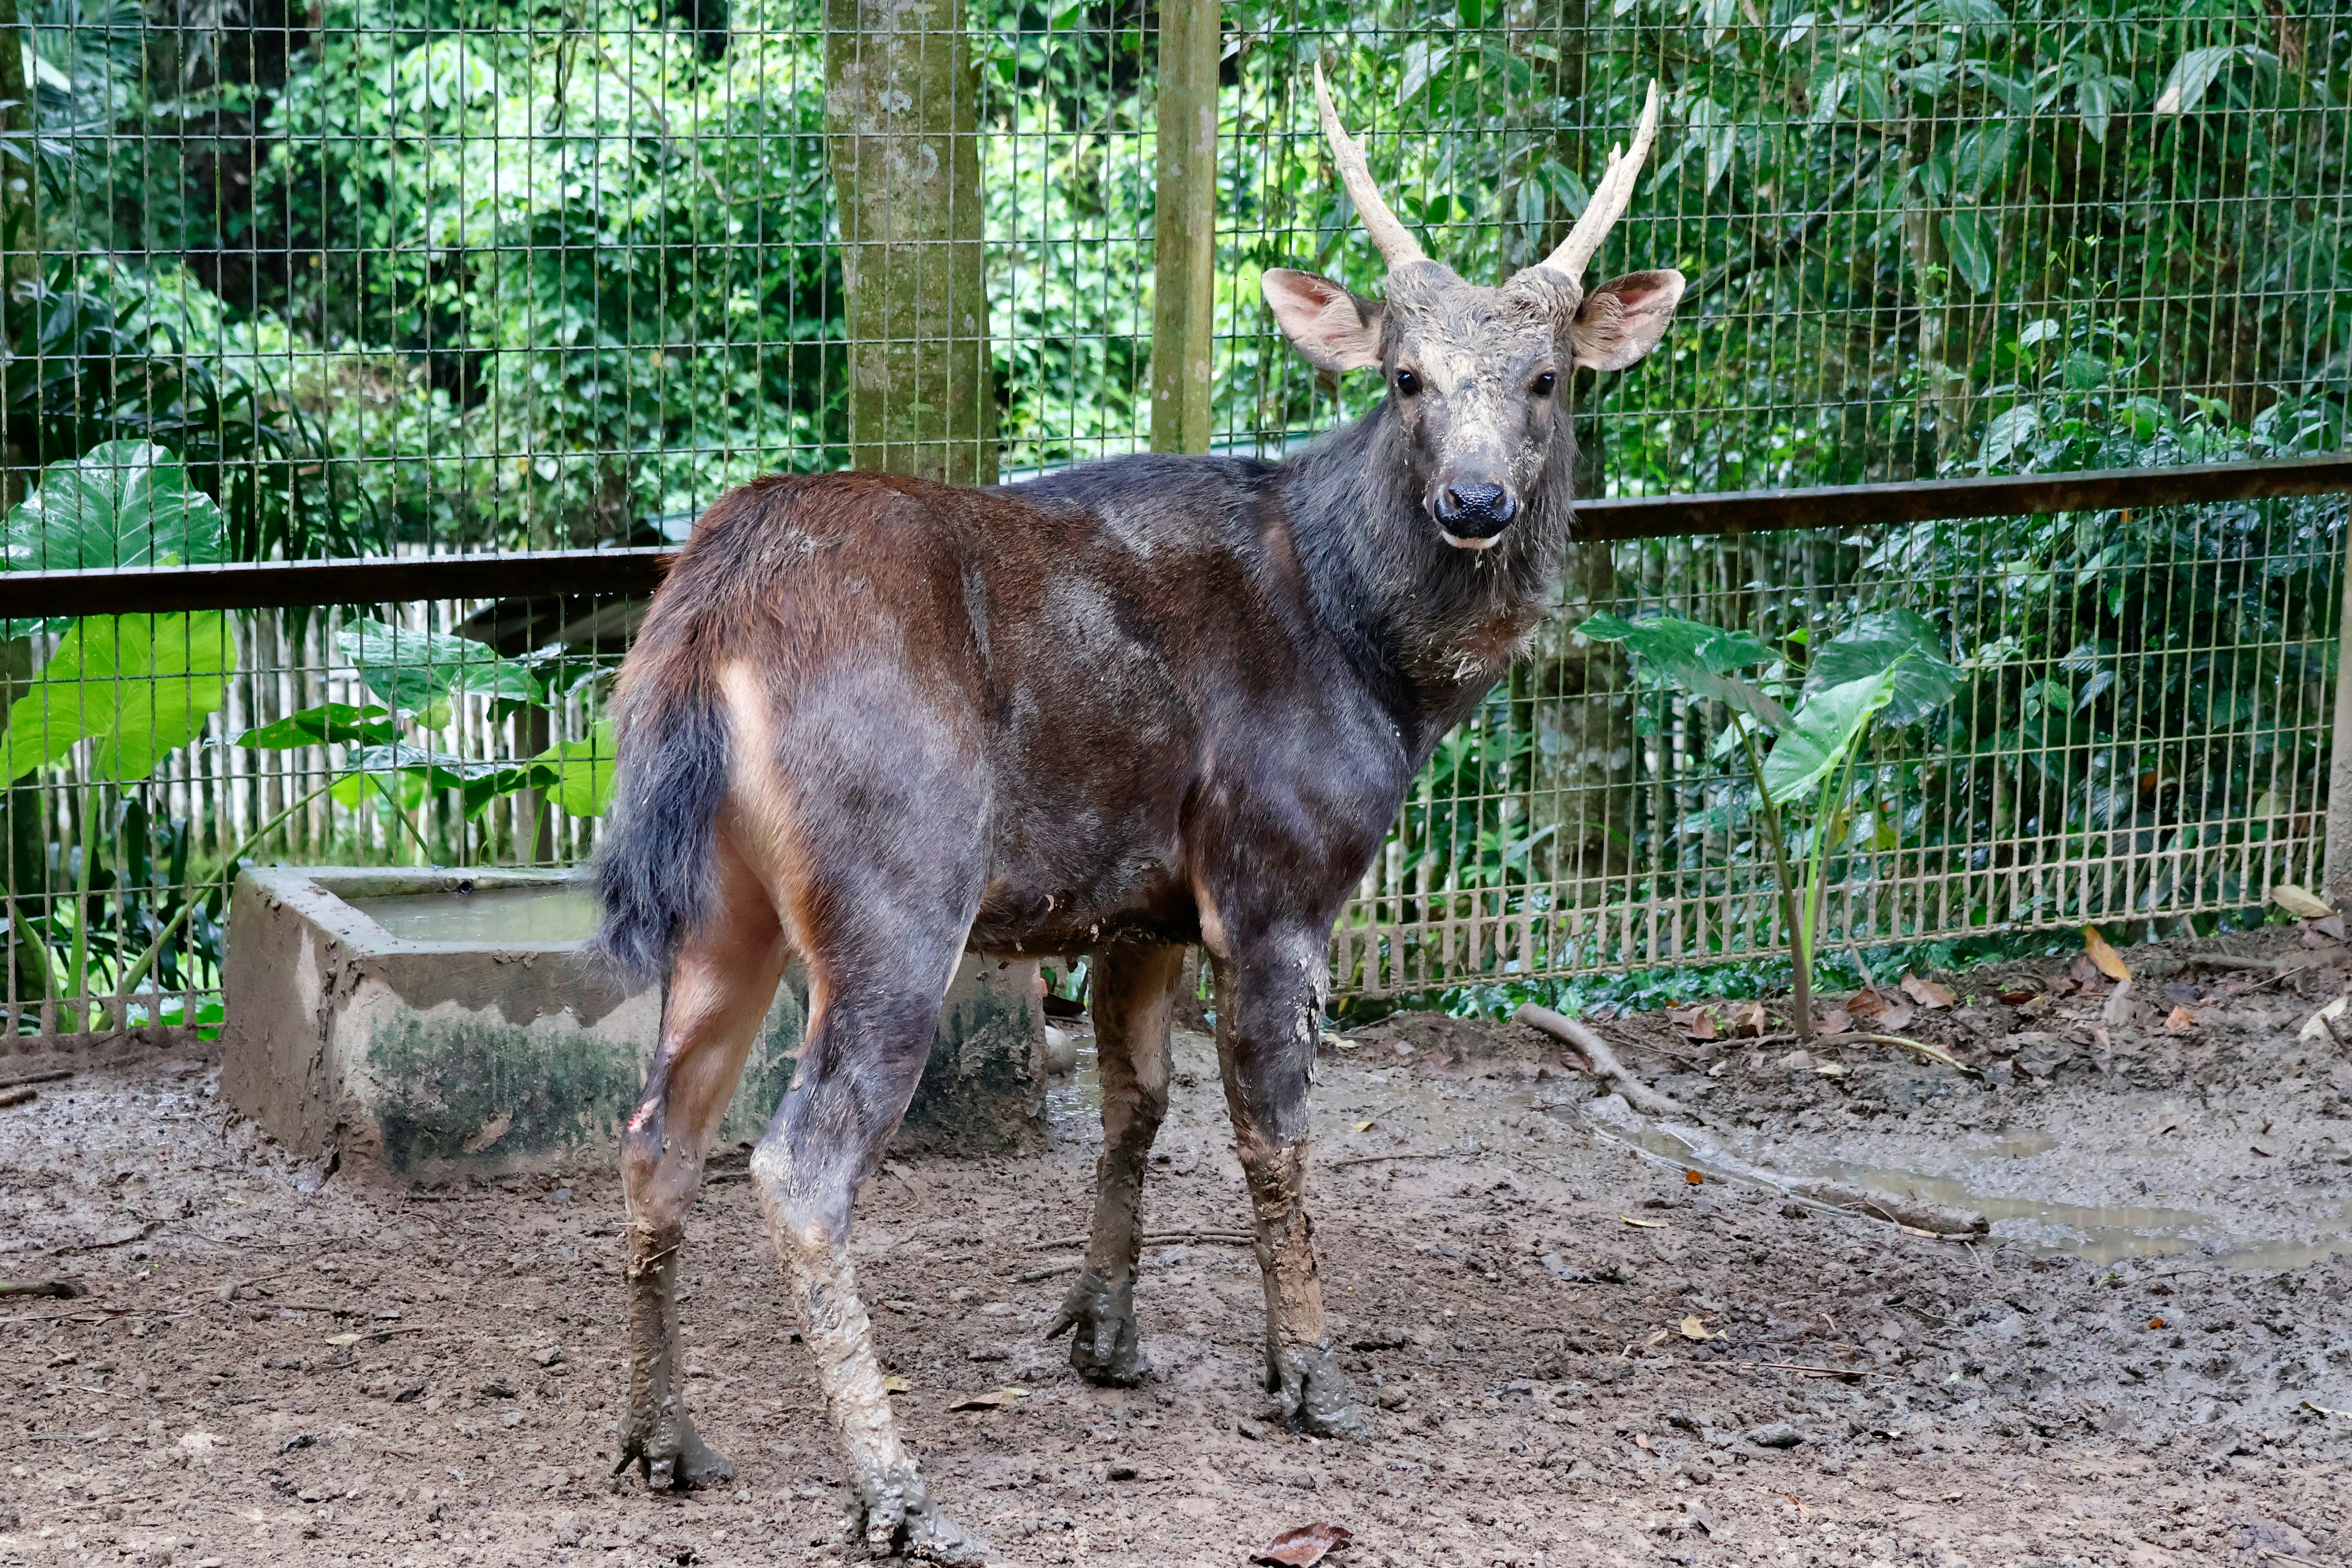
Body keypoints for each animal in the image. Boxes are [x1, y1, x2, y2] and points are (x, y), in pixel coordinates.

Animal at [592, 65, 1681, 1563]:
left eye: (1547, 375)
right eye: (1402, 377)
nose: (1475, 501)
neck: (1378, 665)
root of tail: (707, 606)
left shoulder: (1138, 901)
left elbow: (1135, 1098)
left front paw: (1103, 1334)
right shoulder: (1273, 873)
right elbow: (1271, 1127)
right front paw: (1310, 1375)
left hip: (723, 901)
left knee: (657, 1131)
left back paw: (663, 1439)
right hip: (893, 879)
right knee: (796, 1163)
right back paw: (895, 1491)